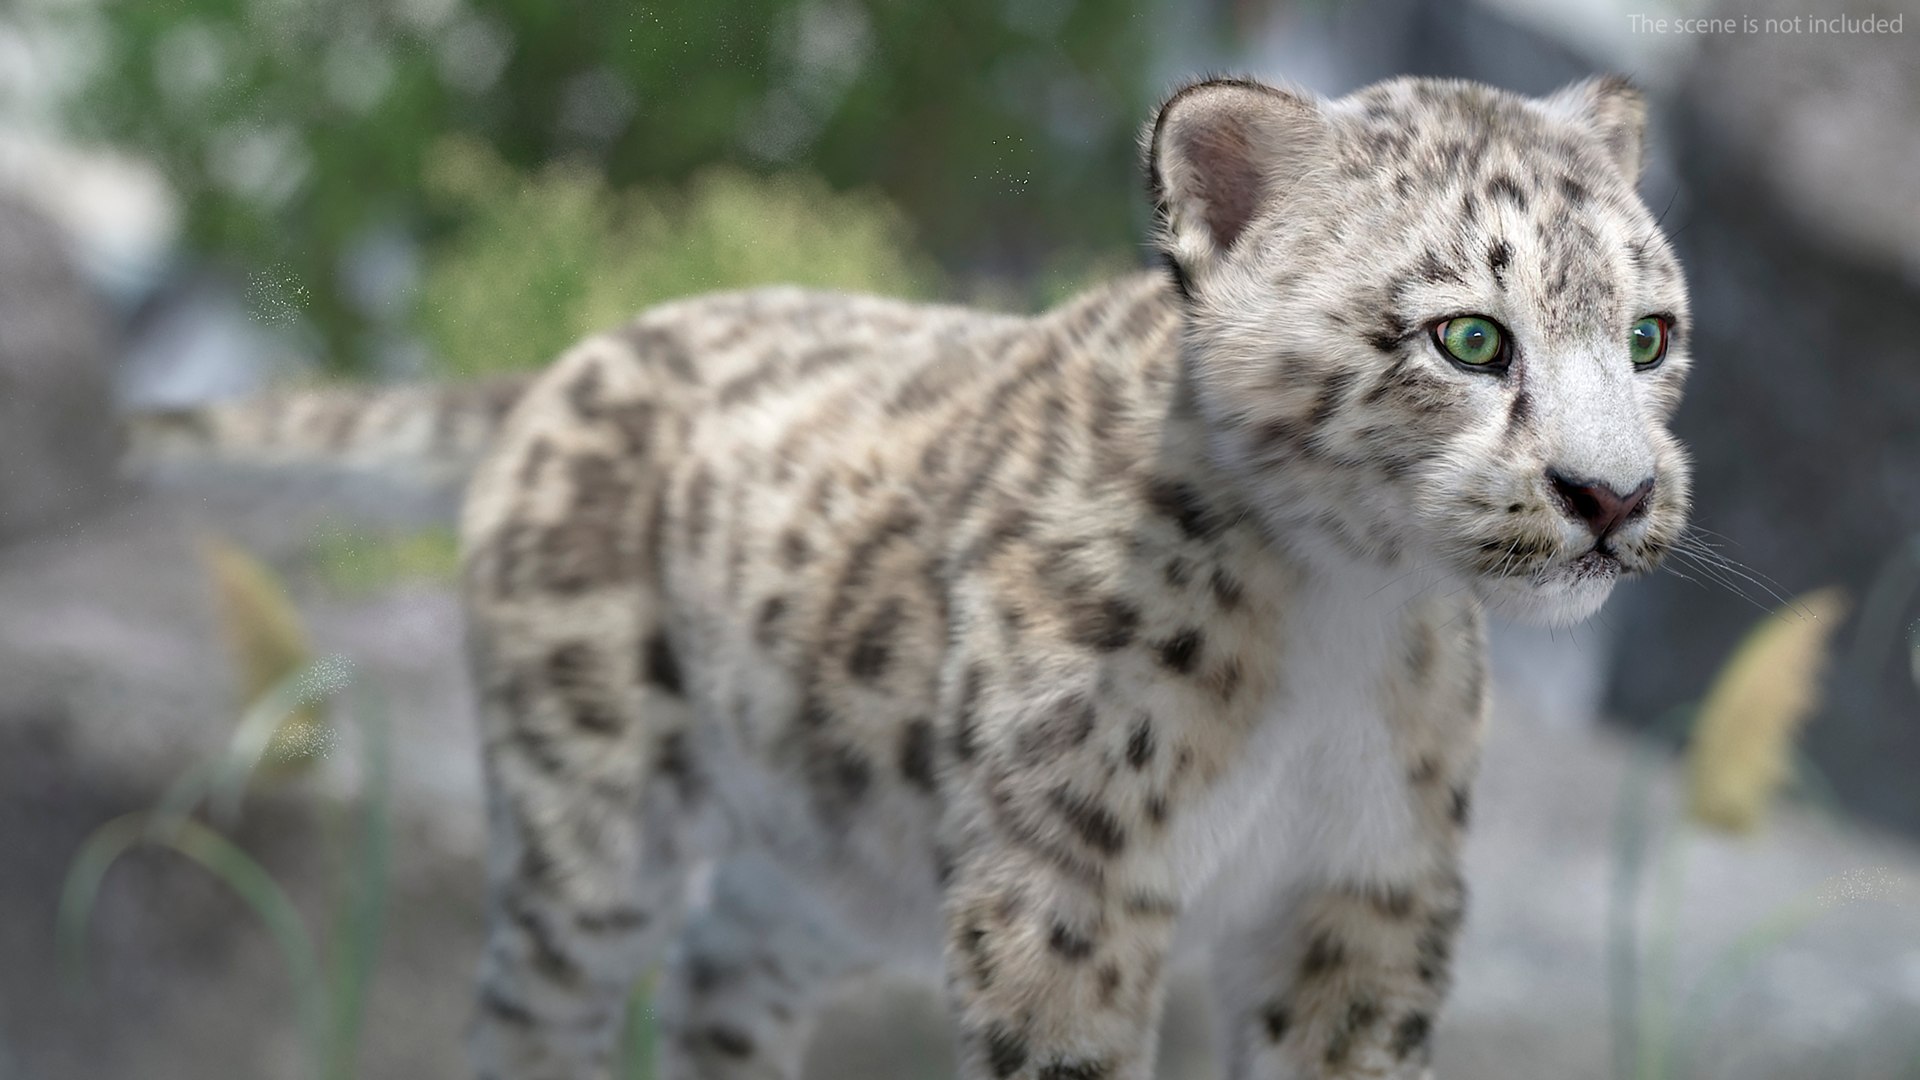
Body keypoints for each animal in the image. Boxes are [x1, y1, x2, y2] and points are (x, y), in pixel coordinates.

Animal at [143, 72, 1694, 1079]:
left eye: (1650, 334)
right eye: (1471, 337)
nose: (1613, 494)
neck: (1346, 622)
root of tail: (567, 361)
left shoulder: (1366, 894)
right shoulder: (1066, 882)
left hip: (828, 868)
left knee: (721, 972)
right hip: (591, 828)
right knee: (537, 1016)